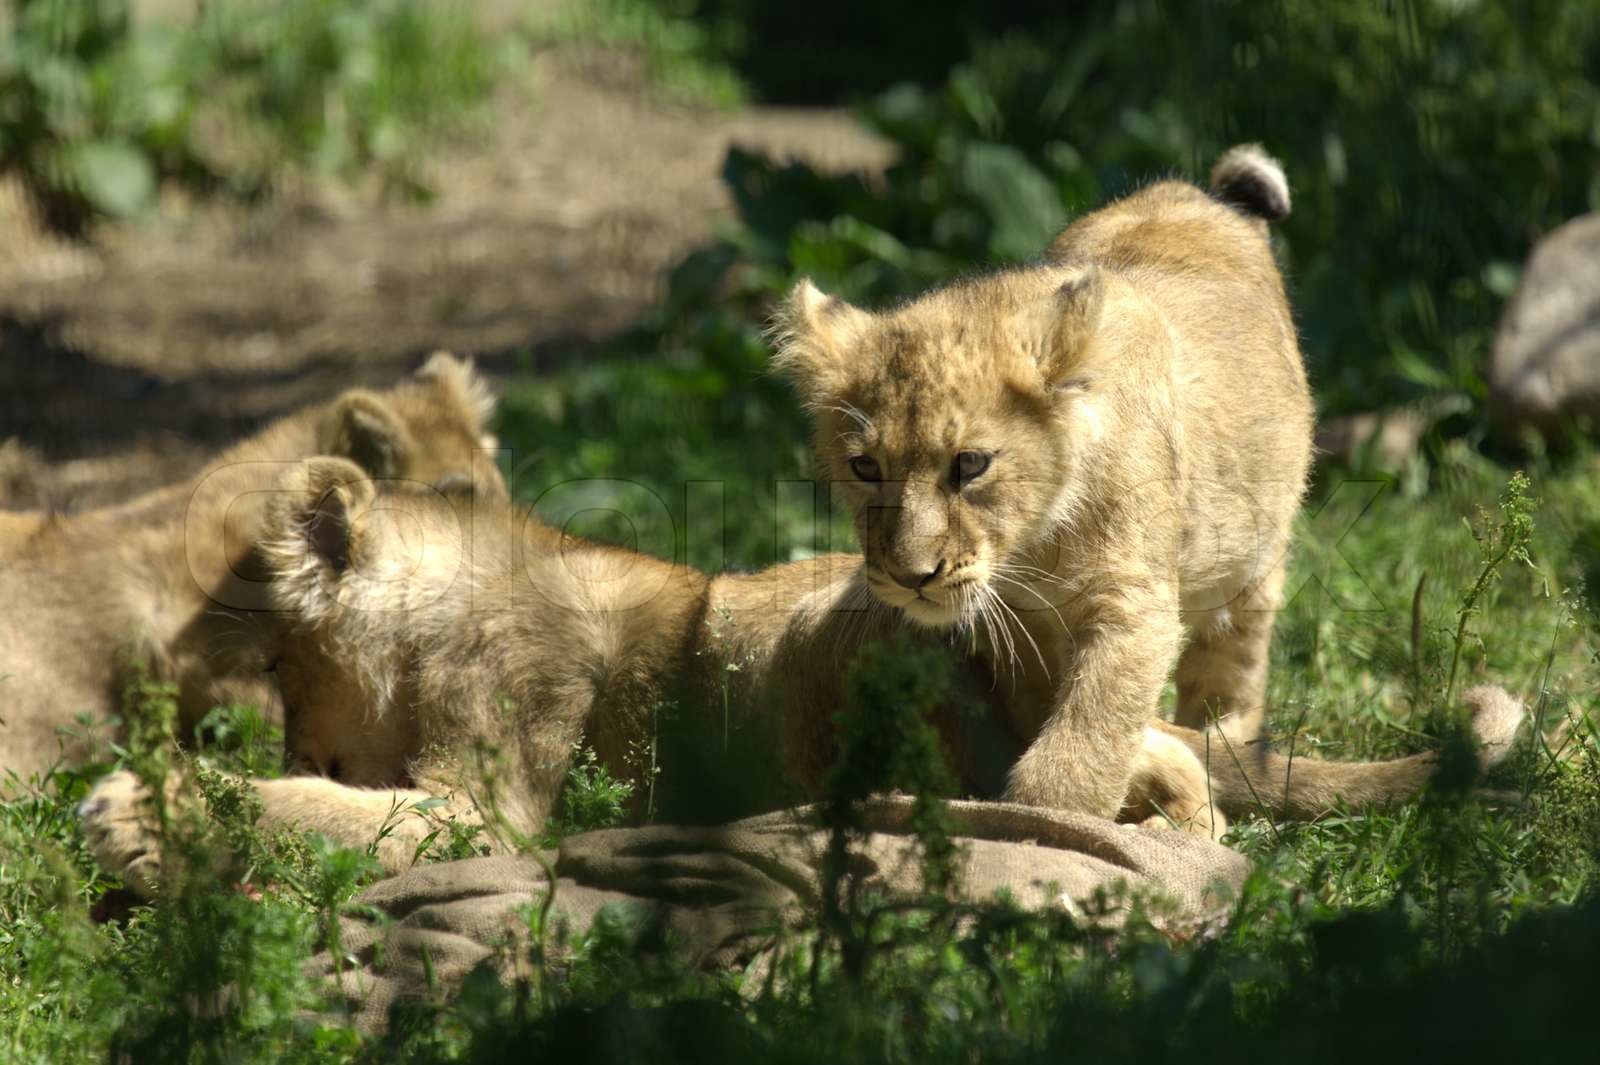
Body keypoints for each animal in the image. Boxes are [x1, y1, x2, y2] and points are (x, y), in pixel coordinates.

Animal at [79, 460, 1522, 888]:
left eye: (279, 661)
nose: (292, 733)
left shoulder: (484, 802)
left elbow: (321, 814)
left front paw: (136, 815)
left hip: (884, 621)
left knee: (1142, 744)